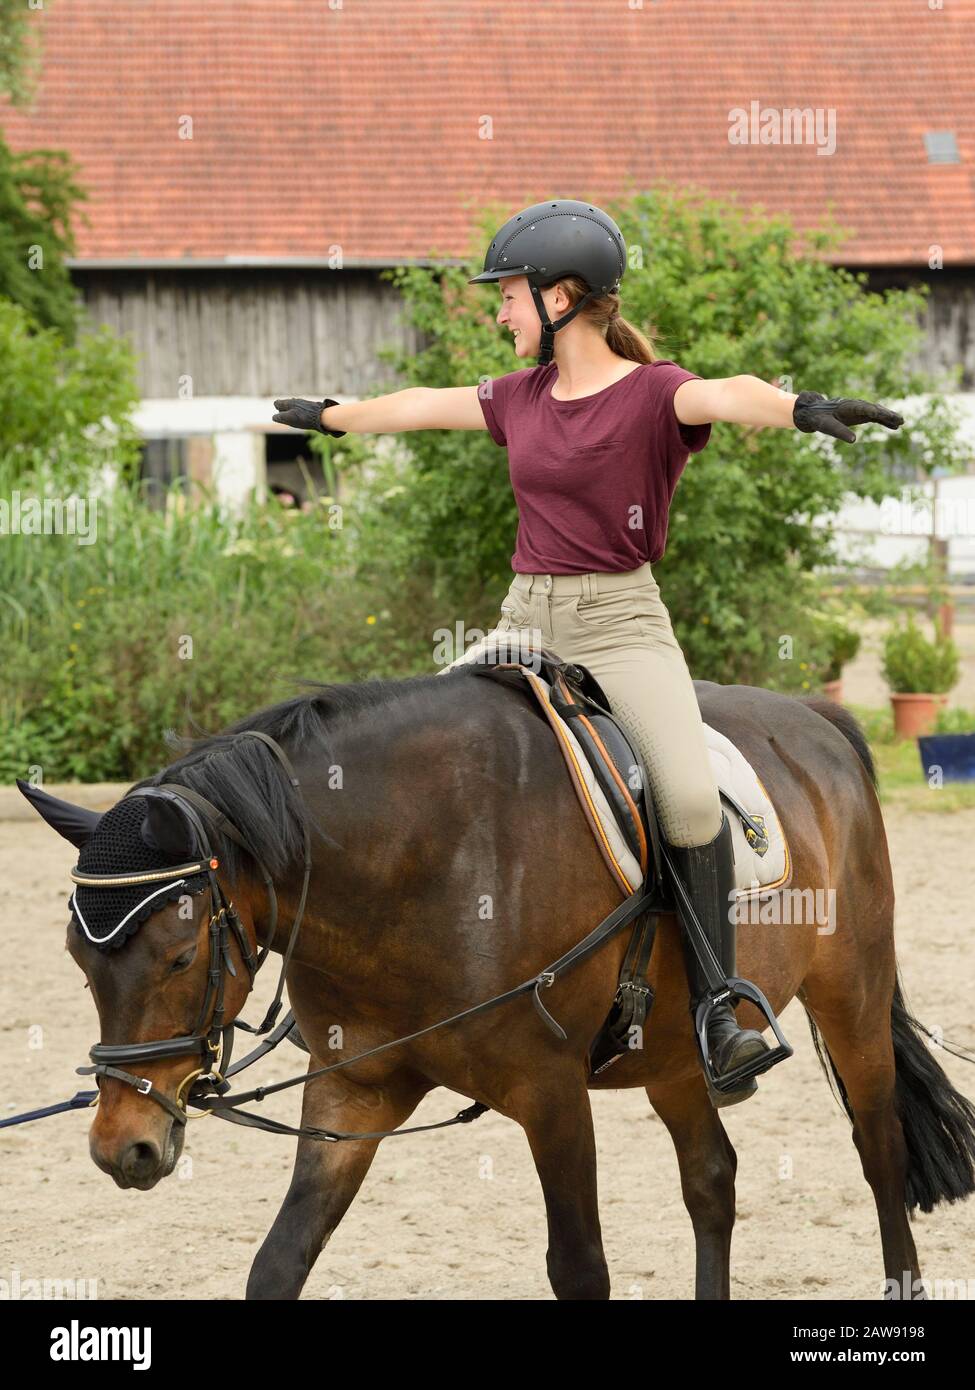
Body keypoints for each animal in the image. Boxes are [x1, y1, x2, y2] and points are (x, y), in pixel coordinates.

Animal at [19, 668, 975, 1300]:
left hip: (850, 995)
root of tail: (812, 718)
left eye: (180, 957)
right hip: (671, 1050)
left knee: (878, 1151)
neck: (420, 861)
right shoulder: (354, 1093)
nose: (124, 1147)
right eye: (76, 958)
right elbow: (279, 1261)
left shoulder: (551, 1095)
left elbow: (578, 1268)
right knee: (712, 1177)